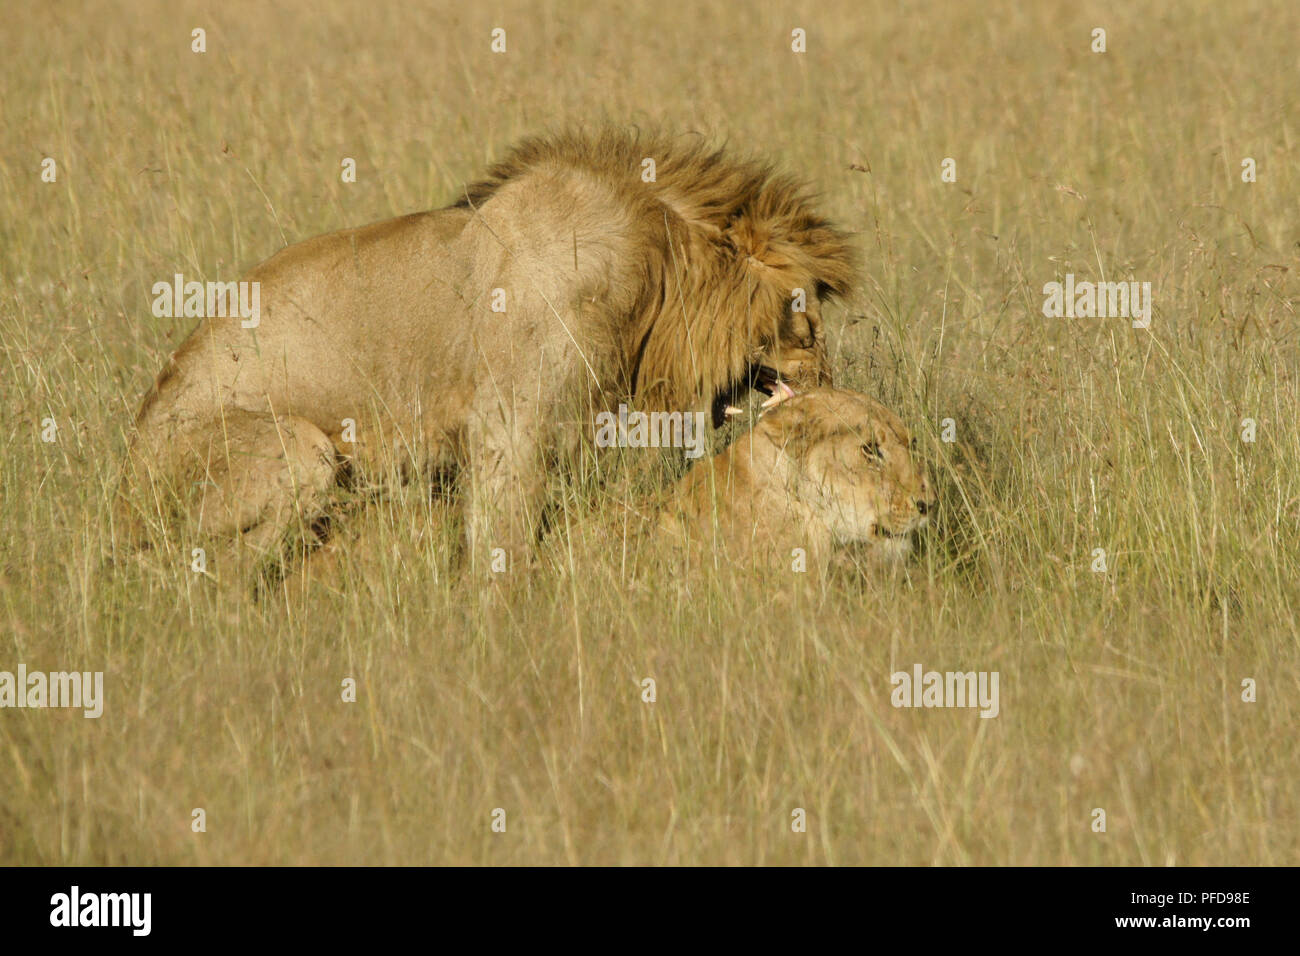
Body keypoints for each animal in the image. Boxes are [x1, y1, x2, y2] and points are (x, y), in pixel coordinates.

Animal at [114, 127, 855, 566]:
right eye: (809, 326)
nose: (830, 379)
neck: (655, 273)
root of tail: (123, 479)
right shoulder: (509, 427)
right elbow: (503, 542)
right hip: (298, 449)